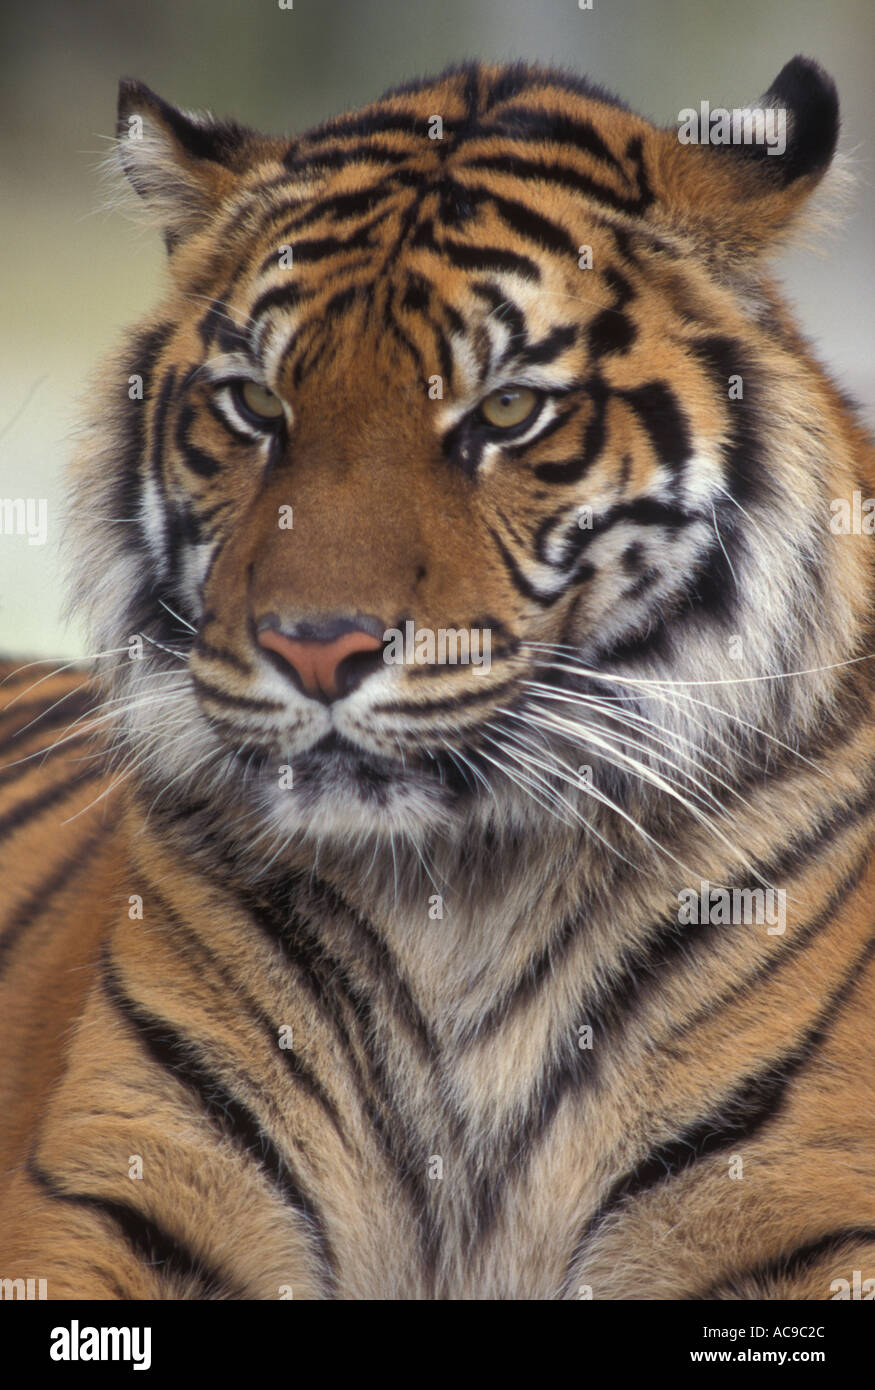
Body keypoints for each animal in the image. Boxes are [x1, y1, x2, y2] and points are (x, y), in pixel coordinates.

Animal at [0, 54, 873, 1303]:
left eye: (506, 409)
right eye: (255, 405)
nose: (317, 646)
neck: (453, 900)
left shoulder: (800, 1194)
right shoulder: (121, 1187)